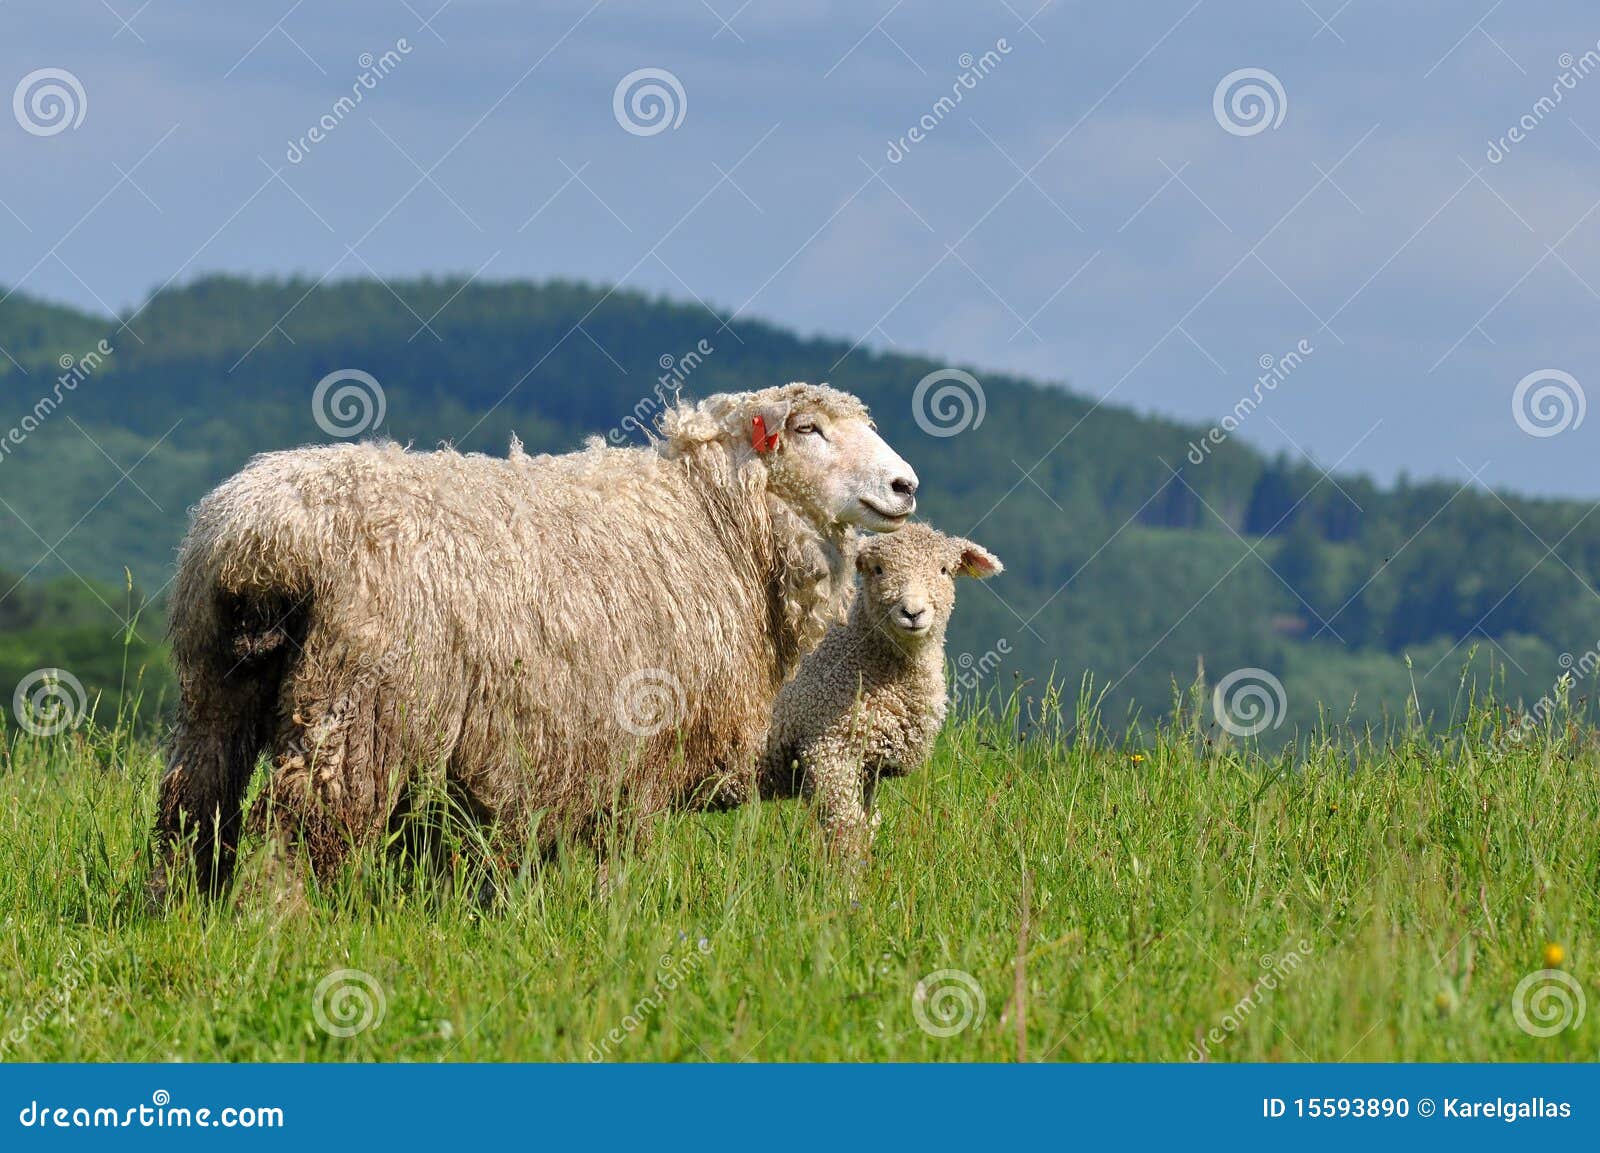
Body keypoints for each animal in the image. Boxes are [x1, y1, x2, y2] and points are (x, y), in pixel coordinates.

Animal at [149, 383, 919, 898]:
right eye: (810, 429)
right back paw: (280, 921)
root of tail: (265, 537)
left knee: (192, 797)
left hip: (215, 681)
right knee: (302, 822)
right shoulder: (638, 733)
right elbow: (622, 840)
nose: (905, 484)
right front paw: (620, 912)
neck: (710, 520)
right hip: (358, 700)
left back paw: (178, 905)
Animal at [759, 523, 1001, 855]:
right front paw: (845, 872)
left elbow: (866, 826)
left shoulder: (866, 765)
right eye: (877, 569)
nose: (912, 613)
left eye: (943, 569)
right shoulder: (828, 750)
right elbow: (848, 833)